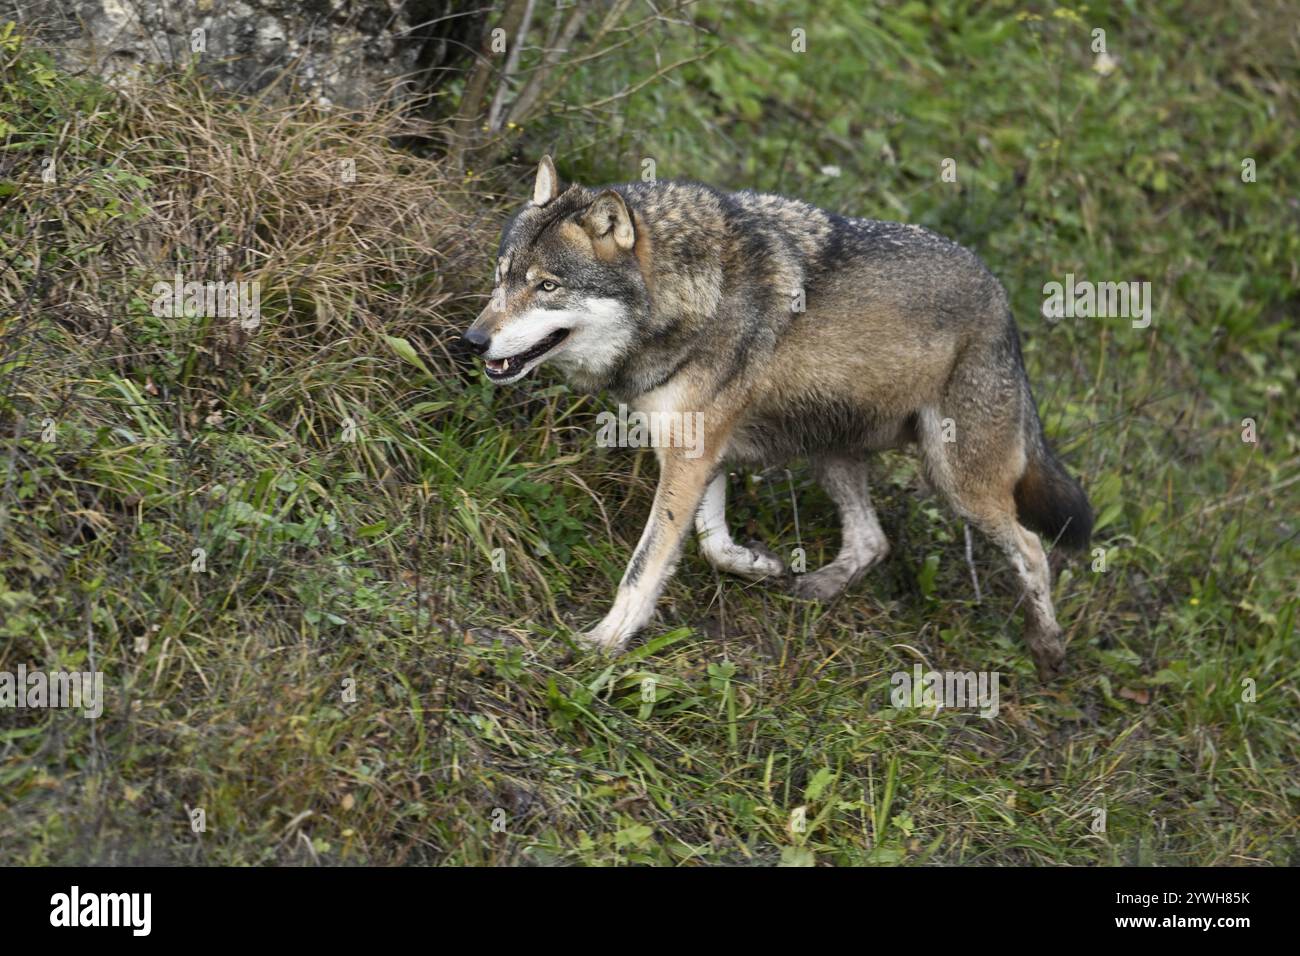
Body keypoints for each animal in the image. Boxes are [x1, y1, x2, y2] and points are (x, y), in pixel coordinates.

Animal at [463, 157, 1092, 678]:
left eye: (547, 286)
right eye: (500, 276)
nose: (472, 341)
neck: (689, 299)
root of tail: (1003, 302)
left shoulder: (690, 457)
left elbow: (644, 565)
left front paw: (605, 642)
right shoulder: (701, 453)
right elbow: (712, 541)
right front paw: (759, 565)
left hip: (957, 483)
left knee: (1032, 549)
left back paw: (1049, 649)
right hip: (831, 455)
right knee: (873, 541)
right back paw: (812, 588)